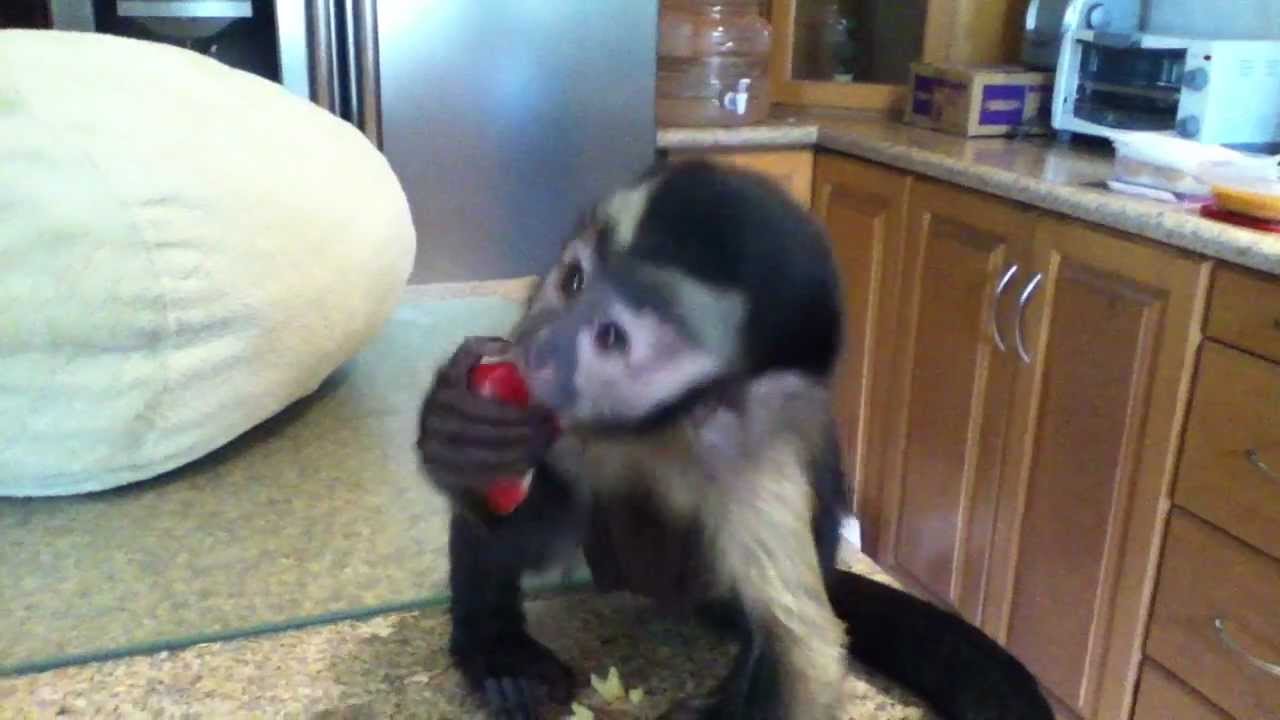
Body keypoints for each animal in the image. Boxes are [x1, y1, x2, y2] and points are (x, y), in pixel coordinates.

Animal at [417, 159, 1055, 720]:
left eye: (610, 338)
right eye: (573, 281)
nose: (539, 345)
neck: (664, 425)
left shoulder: (756, 449)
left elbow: (804, 652)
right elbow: (533, 531)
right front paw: (458, 434)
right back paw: (497, 652)